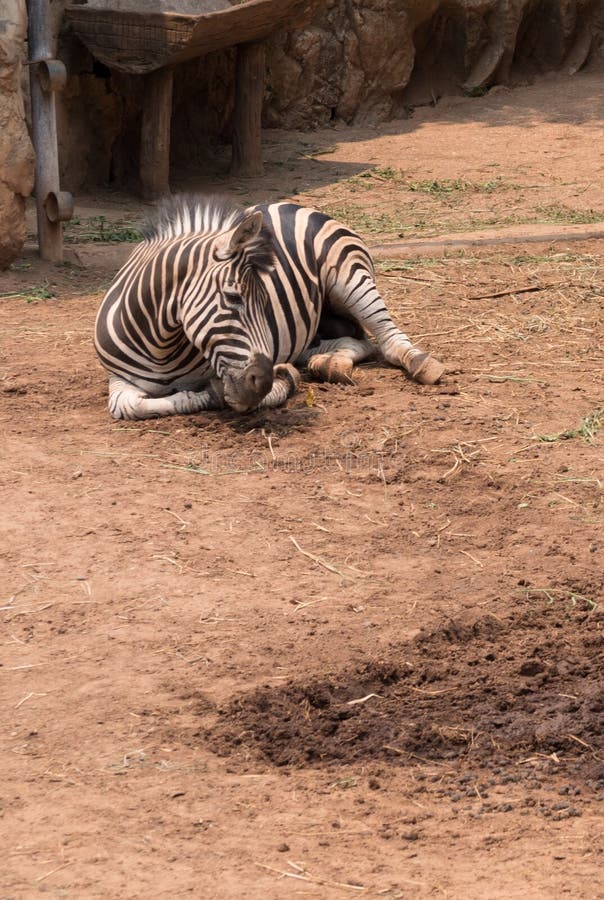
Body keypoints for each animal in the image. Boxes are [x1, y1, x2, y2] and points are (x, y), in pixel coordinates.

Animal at [94, 194, 444, 420]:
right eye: (233, 298)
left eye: (266, 303)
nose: (262, 379)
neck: (160, 346)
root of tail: (289, 204)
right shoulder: (119, 378)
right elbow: (127, 407)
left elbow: (244, 399)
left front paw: (280, 380)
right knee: (356, 342)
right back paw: (329, 363)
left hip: (349, 276)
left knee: (385, 337)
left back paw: (420, 363)